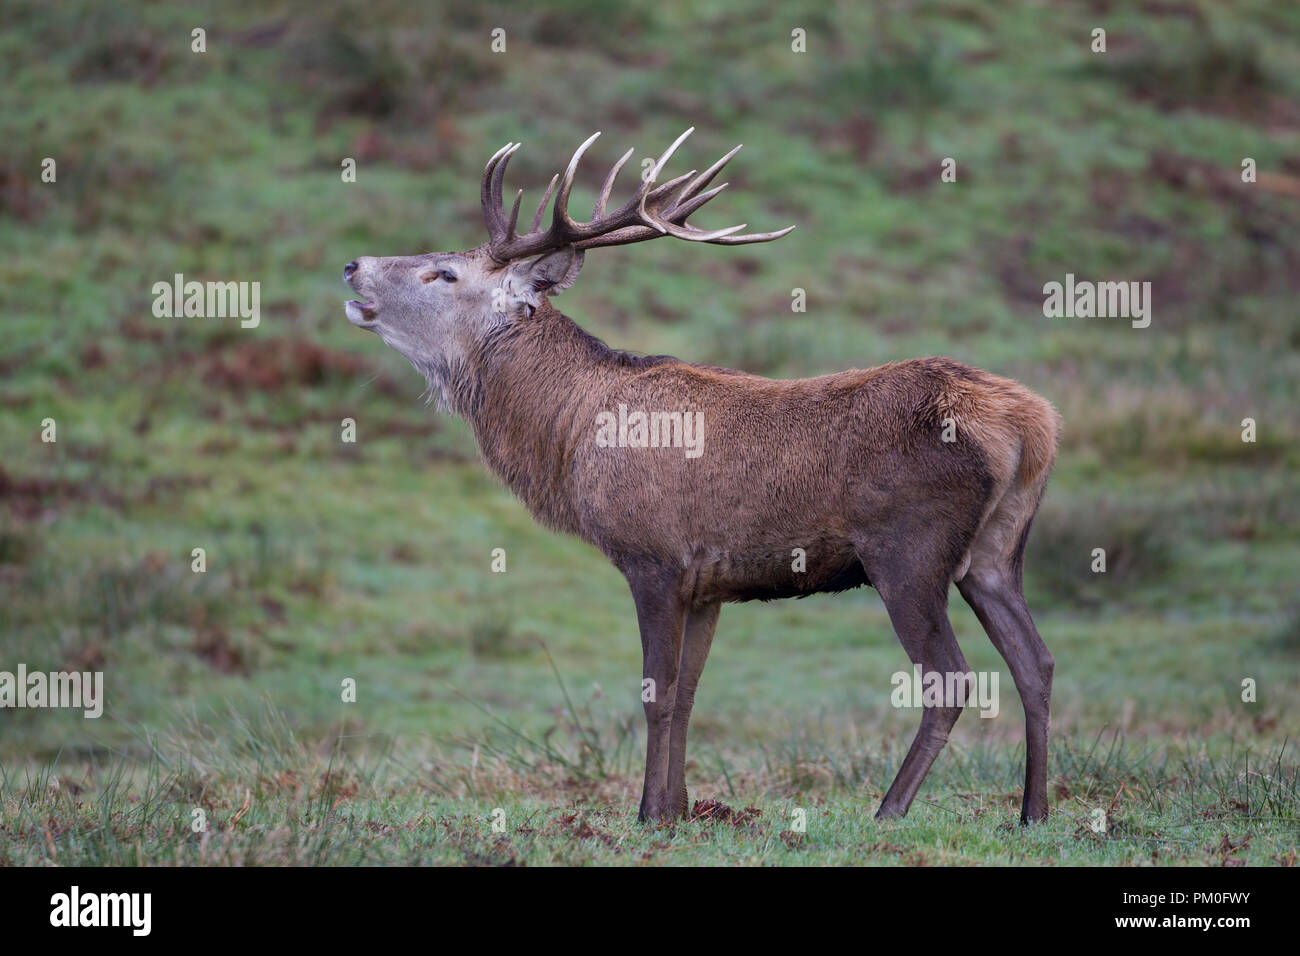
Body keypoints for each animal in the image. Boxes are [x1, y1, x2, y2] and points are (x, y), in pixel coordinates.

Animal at [341, 128, 1062, 825]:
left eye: (443, 272)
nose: (352, 264)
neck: (571, 436)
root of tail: (1032, 424)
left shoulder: (653, 555)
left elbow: (656, 694)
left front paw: (646, 815)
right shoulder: (709, 581)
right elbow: (689, 693)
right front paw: (681, 808)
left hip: (908, 548)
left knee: (952, 678)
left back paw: (889, 810)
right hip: (996, 552)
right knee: (1036, 661)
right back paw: (1032, 812)